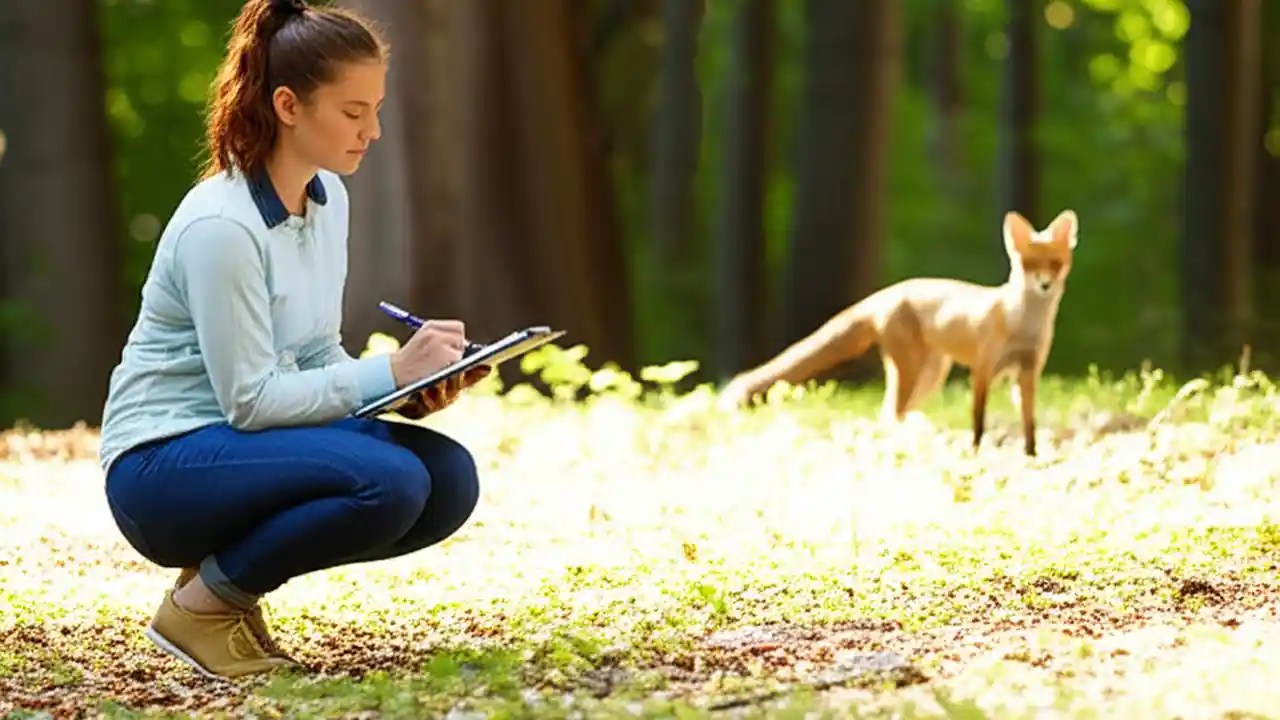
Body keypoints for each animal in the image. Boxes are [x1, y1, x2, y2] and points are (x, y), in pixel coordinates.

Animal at [717, 209, 1079, 457]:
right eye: (1029, 265)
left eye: (1055, 264)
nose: (1044, 285)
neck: (1023, 325)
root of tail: (888, 292)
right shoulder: (982, 371)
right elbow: (978, 423)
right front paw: (975, 454)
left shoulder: (1028, 373)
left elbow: (1029, 425)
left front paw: (1031, 458)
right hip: (913, 373)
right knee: (889, 415)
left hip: (930, 376)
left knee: (893, 415)